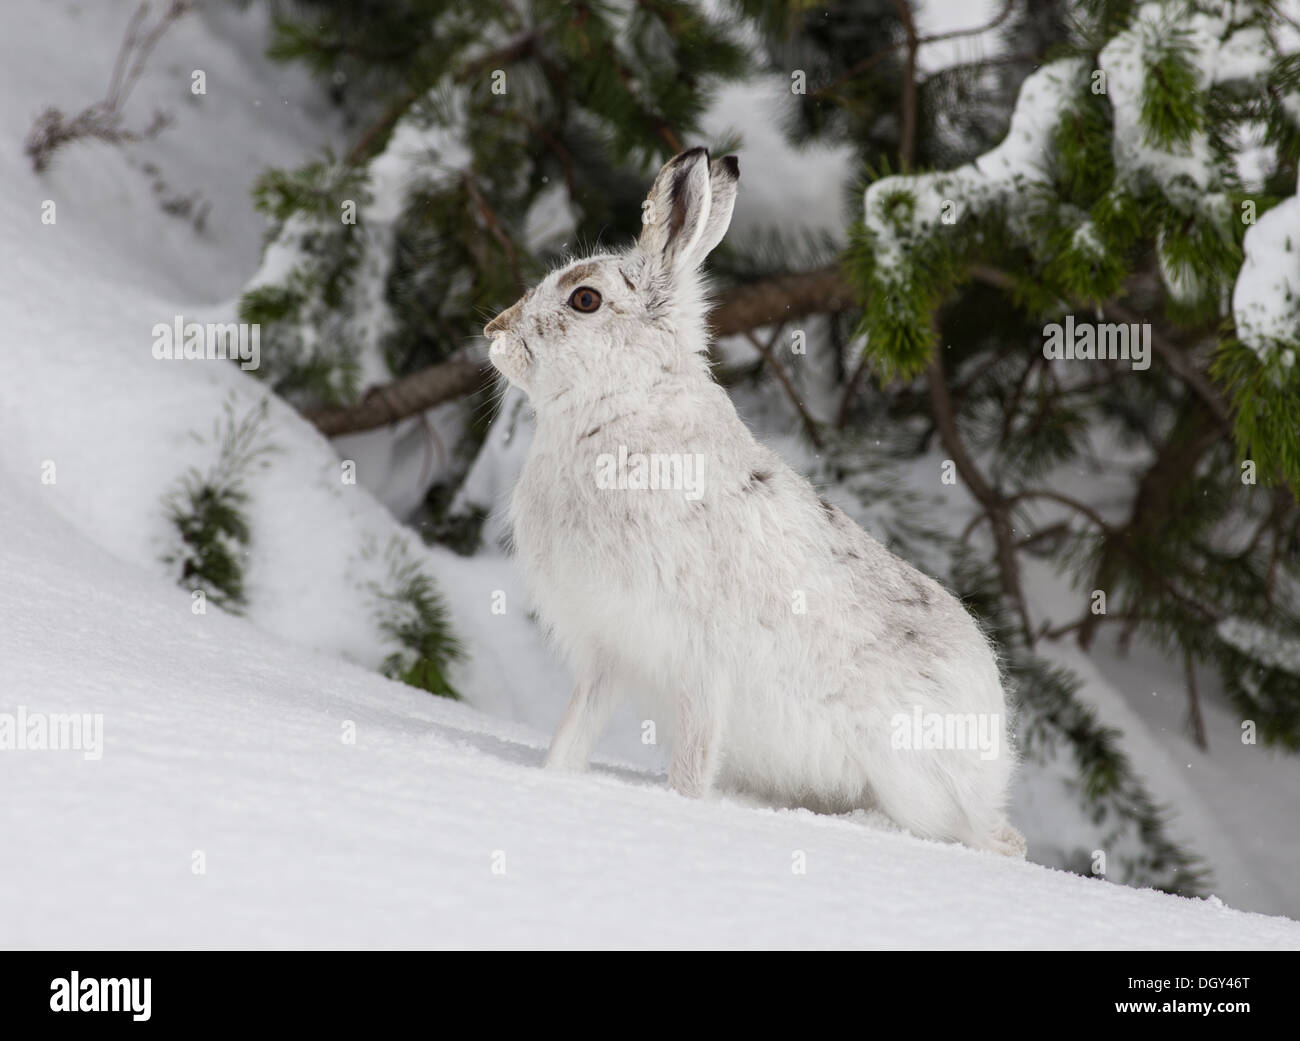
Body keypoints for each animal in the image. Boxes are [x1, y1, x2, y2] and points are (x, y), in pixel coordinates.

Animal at [484, 147, 1026, 857]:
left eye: (584, 299)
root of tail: (996, 756)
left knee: (989, 840)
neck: (621, 409)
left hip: (912, 775)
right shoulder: (612, 651)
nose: (492, 332)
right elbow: (575, 730)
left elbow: (691, 765)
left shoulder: (701, 662)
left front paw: (683, 812)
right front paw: (553, 779)